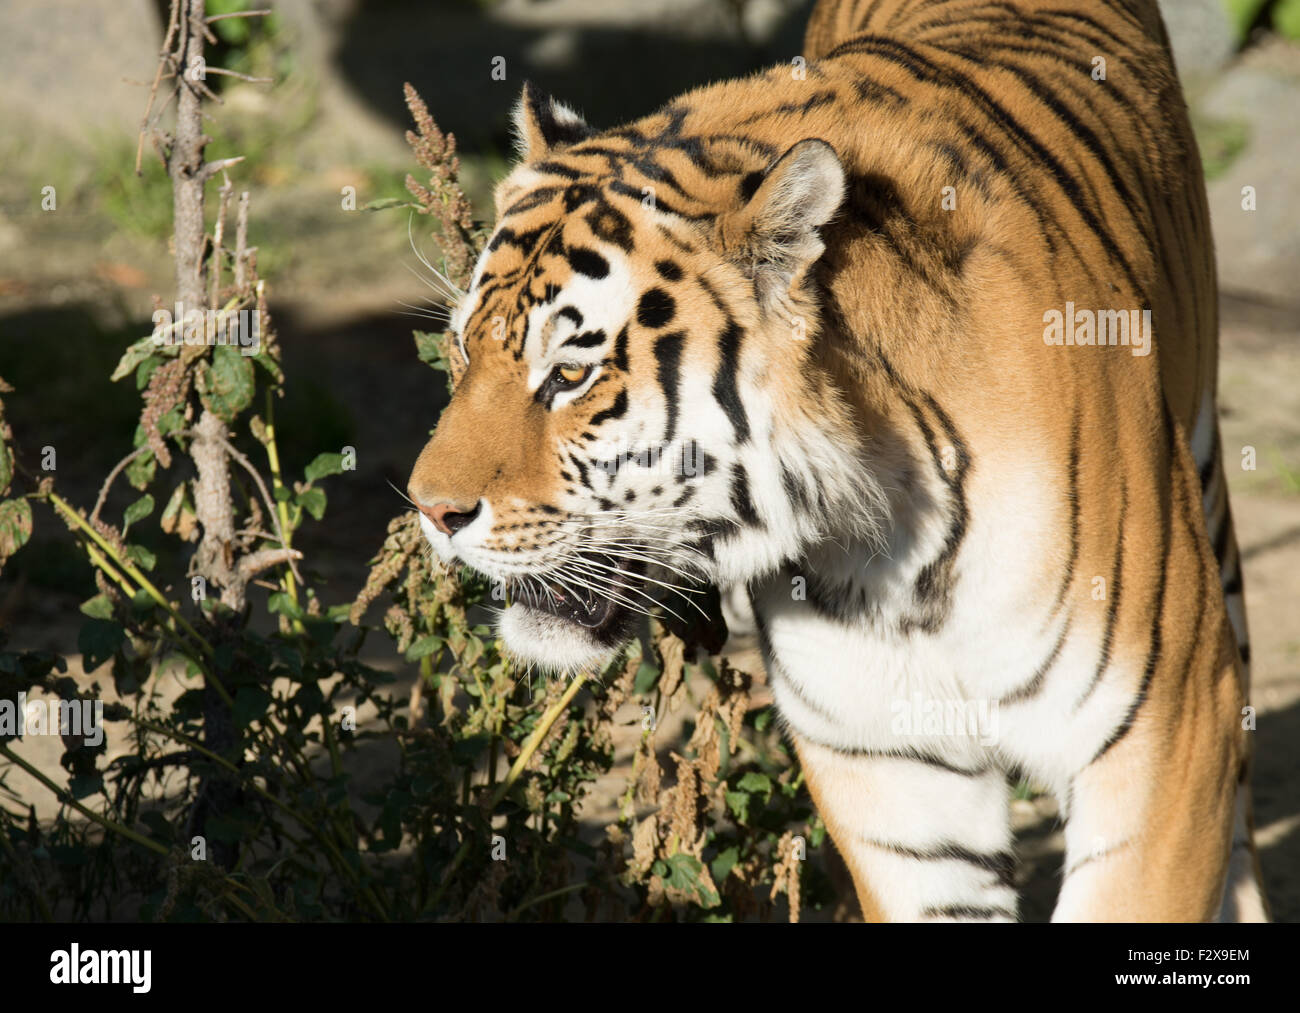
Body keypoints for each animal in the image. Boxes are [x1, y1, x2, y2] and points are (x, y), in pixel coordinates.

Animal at [407, 0, 1269, 922]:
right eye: (463, 350)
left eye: (571, 374)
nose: (430, 509)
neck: (884, 537)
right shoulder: (888, 767)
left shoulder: (1163, 734)